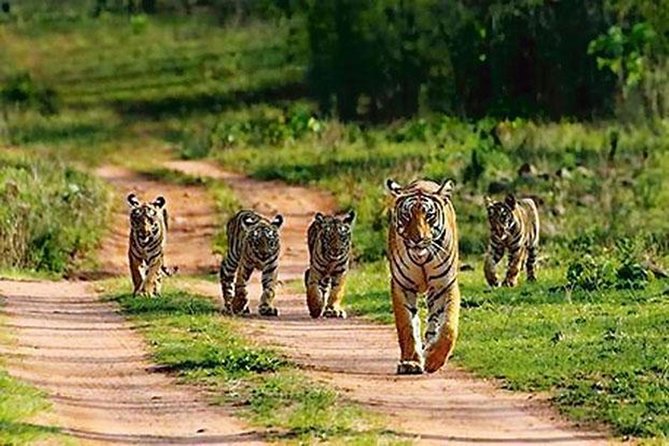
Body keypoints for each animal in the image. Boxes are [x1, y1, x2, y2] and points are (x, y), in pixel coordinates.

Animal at [386, 178, 461, 375]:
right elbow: (407, 326)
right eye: (407, 215)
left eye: (429, 216)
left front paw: (434, 360)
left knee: (434, 323)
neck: (422, 257)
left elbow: (448, 327)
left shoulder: (445, 285)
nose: (417, 239)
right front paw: (411, 363)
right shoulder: (402, 286)